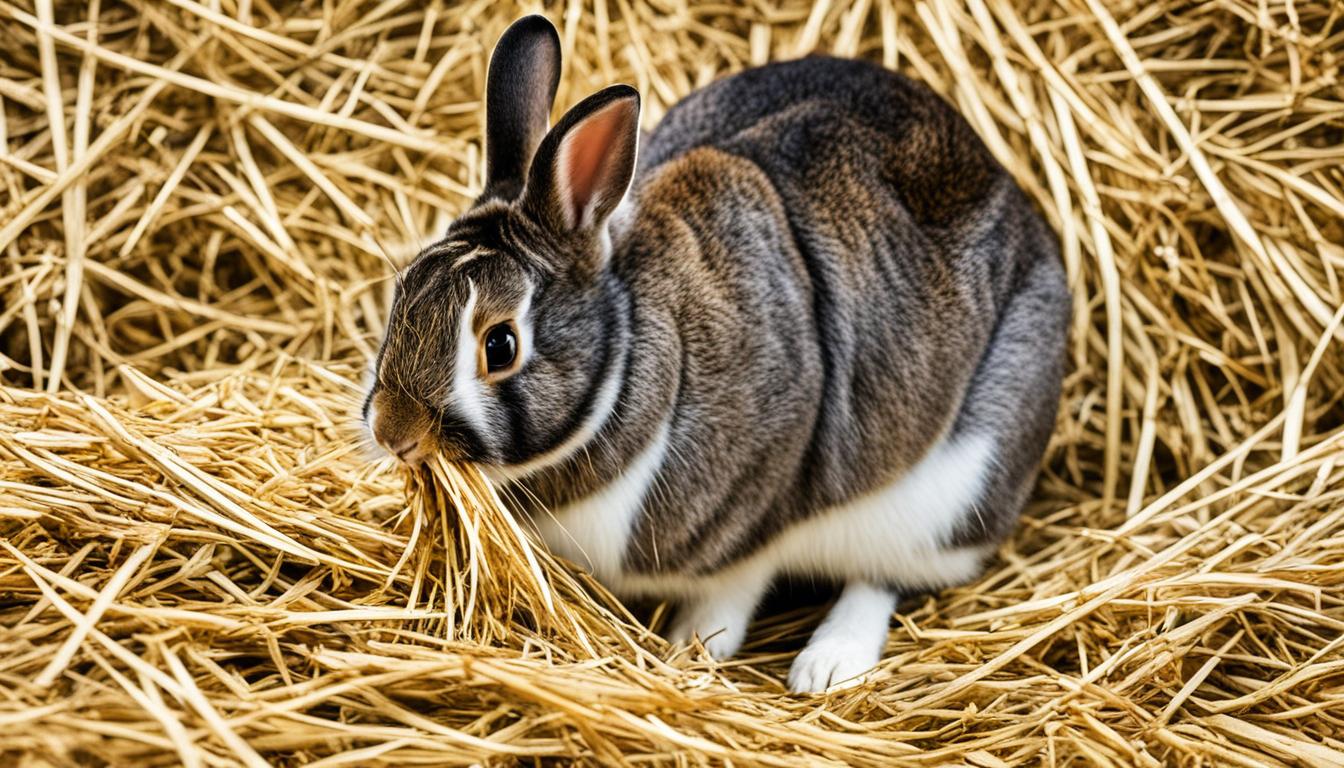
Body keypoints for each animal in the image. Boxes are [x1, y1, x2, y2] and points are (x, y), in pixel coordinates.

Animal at [364, 15, 1071, 693]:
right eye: (404, 291)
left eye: (501, 344)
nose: (395, 433)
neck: (624, 371)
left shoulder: (762, 501)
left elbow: (737, 584)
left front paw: (692, 647)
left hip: (951, 492)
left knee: (883, 575)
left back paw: (827, 666)